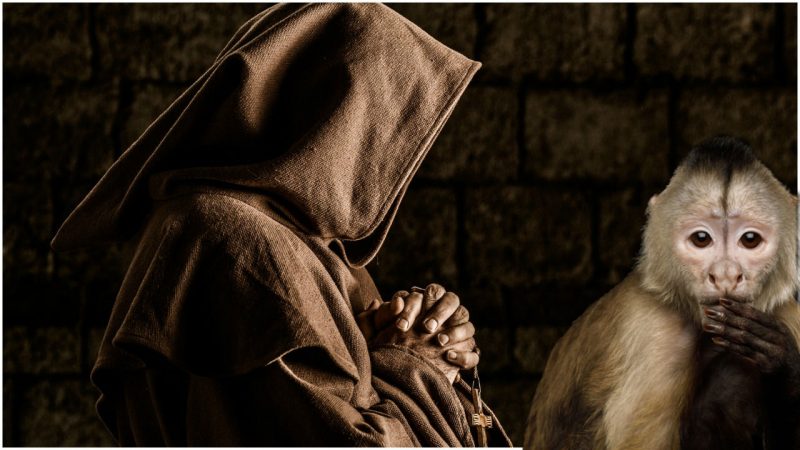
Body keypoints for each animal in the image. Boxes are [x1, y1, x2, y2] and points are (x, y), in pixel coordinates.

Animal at [524, 136, 800, 450]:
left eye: (750, 239)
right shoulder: (656, 336)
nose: (726, 275)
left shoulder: (786, 316)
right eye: (701, 239)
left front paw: (782, 368)